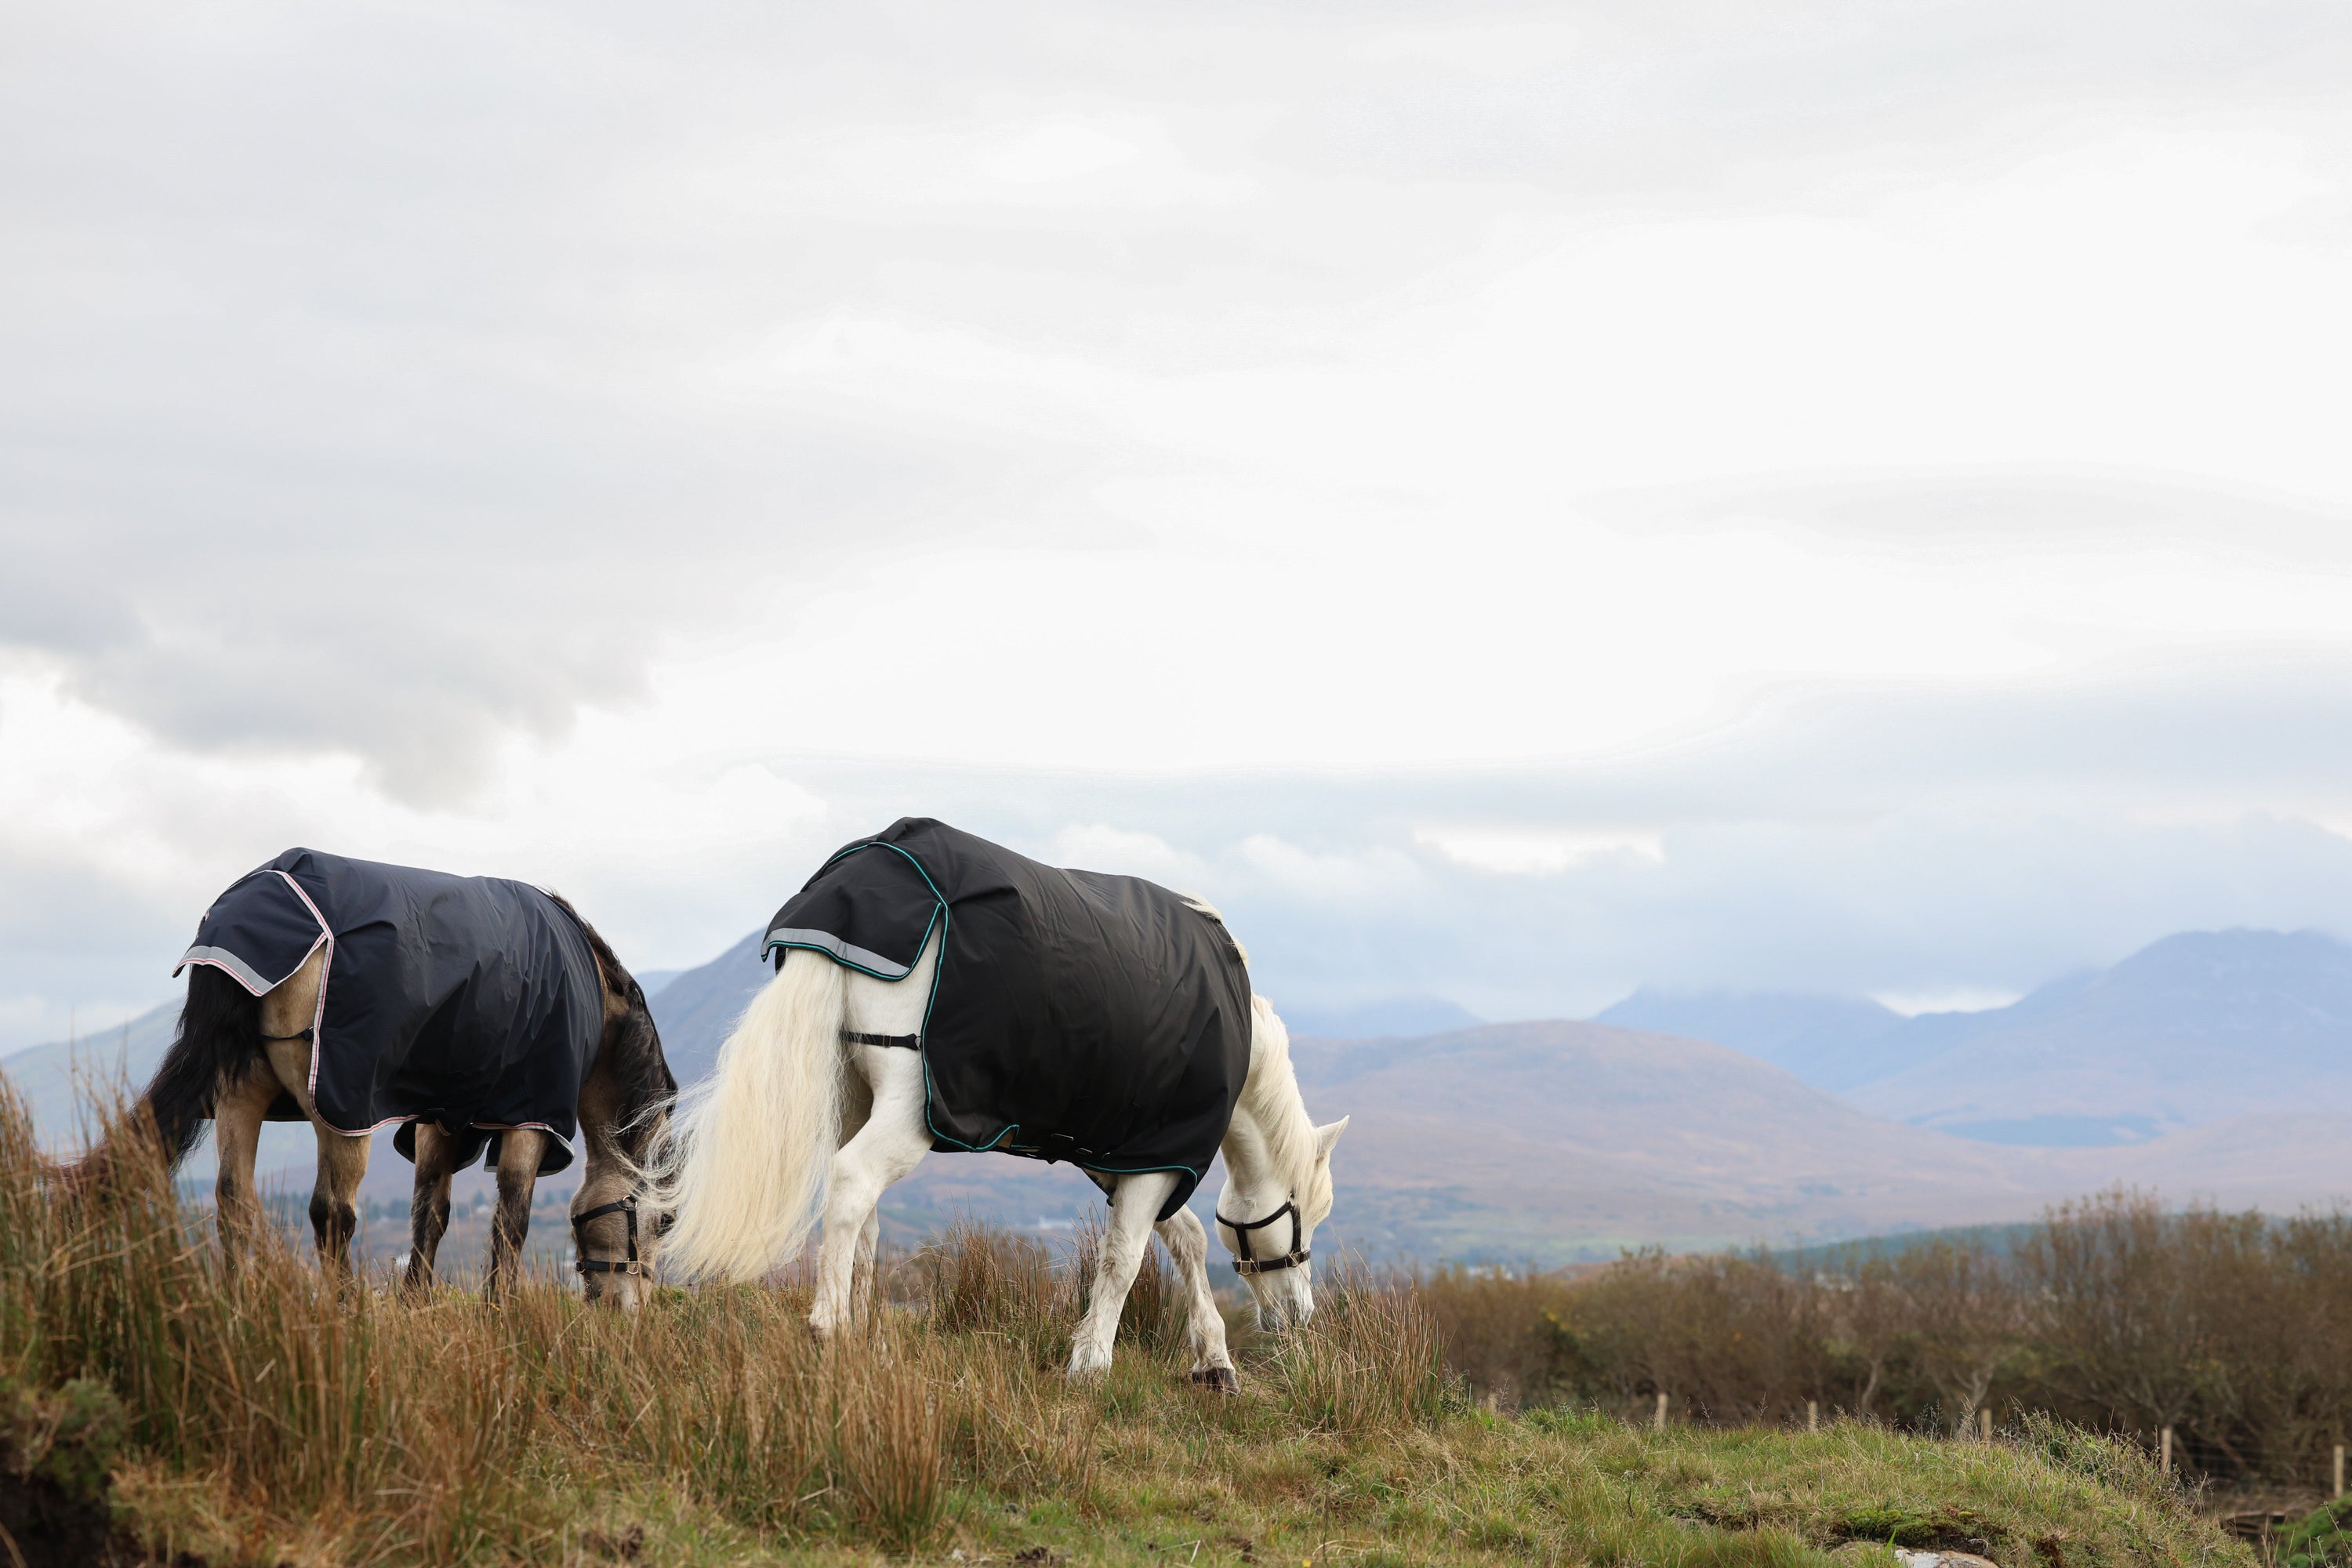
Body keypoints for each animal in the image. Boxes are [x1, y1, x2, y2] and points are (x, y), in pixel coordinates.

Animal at [108, 848, 675, 1306]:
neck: (593, 991)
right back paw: (345, 1312)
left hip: (240, 1095)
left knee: (233, 1200)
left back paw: (239, 1307)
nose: (632, 1311)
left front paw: (416, 1302)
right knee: (332, 1212)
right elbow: (511, 1219)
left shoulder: (441, 1118)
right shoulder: (531, 1121)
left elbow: (431, 1212)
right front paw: (502, 1312)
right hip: (343, 1109)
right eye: (663, 1221)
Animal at [642, 818, 1347, 1385]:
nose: (1301, 1316)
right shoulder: (1160, 1154)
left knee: (863, 1216)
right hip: (908, 1109)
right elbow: (1125, 1259)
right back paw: (830, 1330)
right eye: (1307, 1212)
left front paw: (1214, 1359)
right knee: (852, 1181)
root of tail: (857, 887)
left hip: (852, 1094)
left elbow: (1185, 1240)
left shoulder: (1131, 1155)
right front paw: (1091, 1363)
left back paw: (865, 1335)